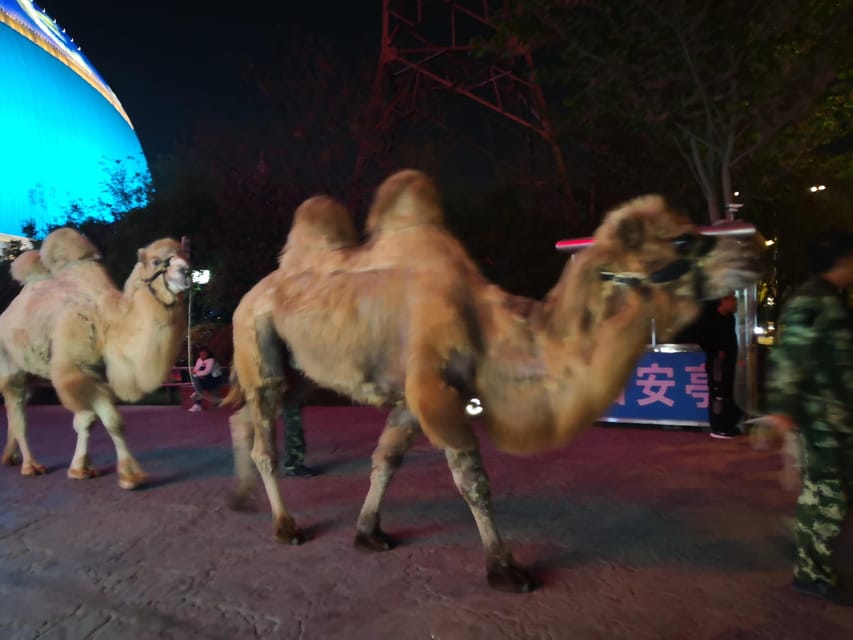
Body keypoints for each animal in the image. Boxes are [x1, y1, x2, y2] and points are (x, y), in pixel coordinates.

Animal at [0, 228, 191, 489]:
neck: (106, 320)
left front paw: (81, 468)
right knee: (18, 413)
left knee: (15, 408)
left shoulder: (96, 371)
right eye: (156, 261)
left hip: (29, 373)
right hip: (11, 365)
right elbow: (113, 421)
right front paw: (131, 475)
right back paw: (31, 466)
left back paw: (11, 457)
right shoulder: (76, 370)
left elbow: (86, 420)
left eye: (187, 255)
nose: (185, 272)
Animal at [226, 170, 762, 592]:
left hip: (299, 371)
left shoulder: (413, 395)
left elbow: (386, 461)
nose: (751, 251)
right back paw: (285, 525)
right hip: (258, 340)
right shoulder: (435, 389)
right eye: (683, 239)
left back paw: (240, 497)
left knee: (244, 419)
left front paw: (369, 532)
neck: (494, 328)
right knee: (264, 437)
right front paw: (505, 568)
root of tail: (248, 296)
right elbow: (474, 482)